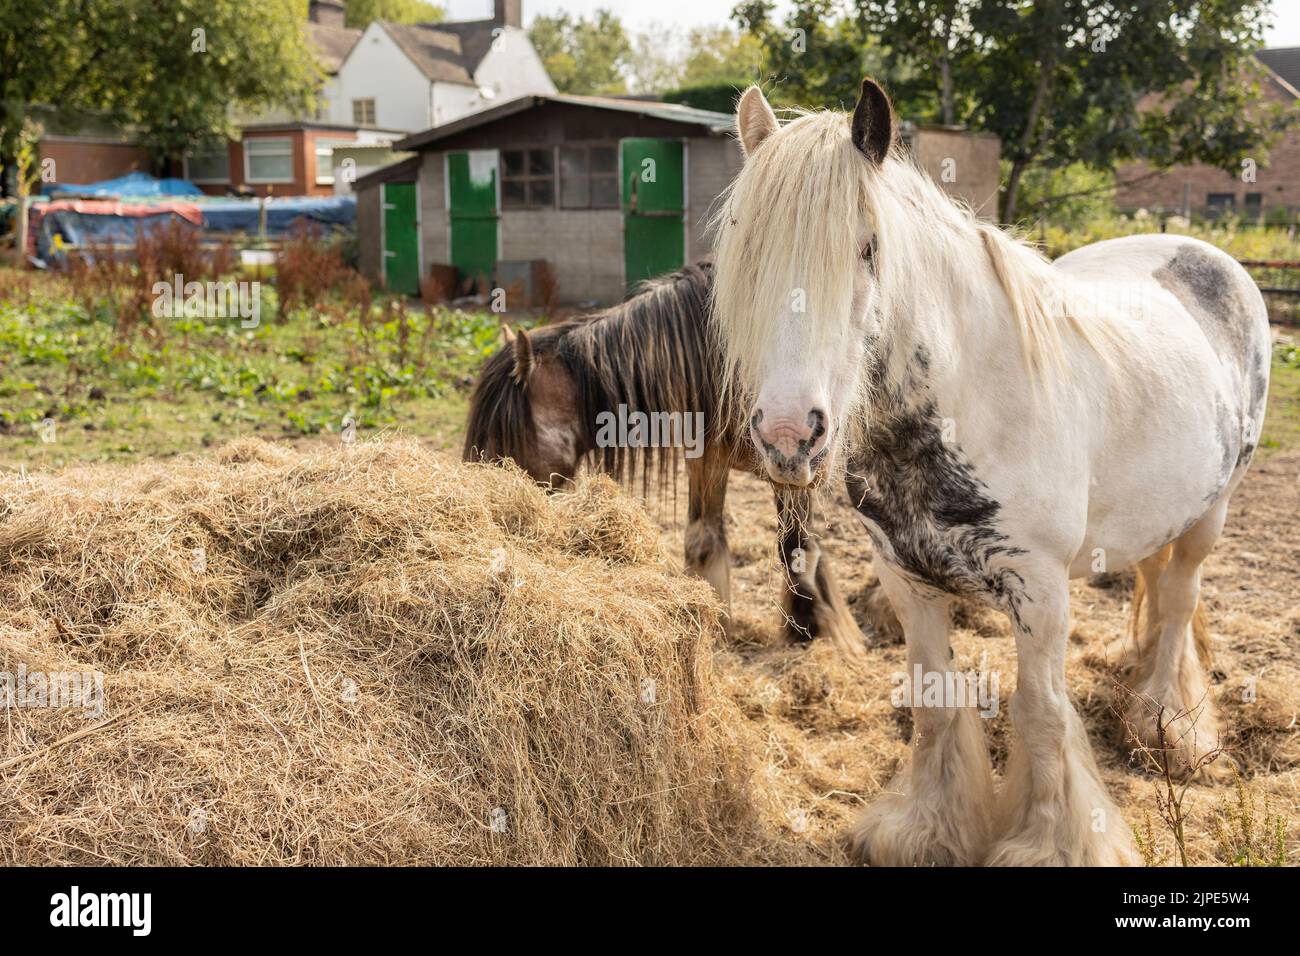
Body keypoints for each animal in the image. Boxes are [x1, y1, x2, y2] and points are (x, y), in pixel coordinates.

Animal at [462, 261, 867, 653]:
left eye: (503, 433)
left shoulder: (795, 471)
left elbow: (796, 544)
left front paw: (817, 627)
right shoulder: (707, 460)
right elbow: (703, 541)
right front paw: (714, 625)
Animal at [710, 79, 1270, 866]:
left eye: (867, 248)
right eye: (747, 251)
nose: (790, 433)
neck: (965, 403)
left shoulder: (1039, 592)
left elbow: (1040, 714)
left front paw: (1050, 844)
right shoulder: (907, 580)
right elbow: (934, 700)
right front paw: (924, 831)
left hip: (1209, 517)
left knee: (1180, 601)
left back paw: (1167, 725)